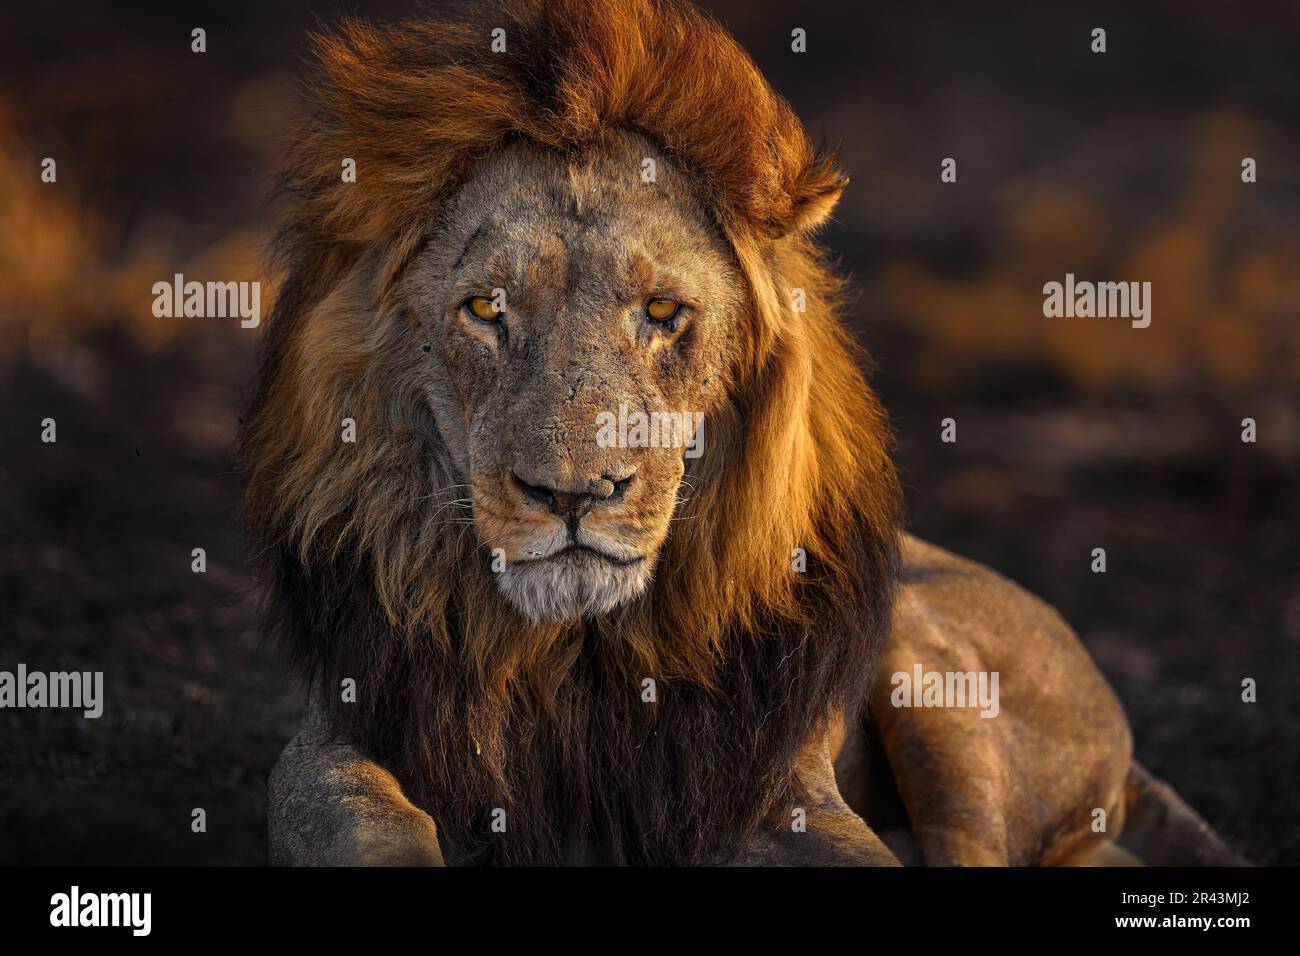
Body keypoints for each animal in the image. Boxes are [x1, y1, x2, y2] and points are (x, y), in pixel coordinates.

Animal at [241, 0, 1243, 866]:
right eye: (486, 309)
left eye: (662, 313)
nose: (572, 495)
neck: (573, 660)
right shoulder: (345, 739)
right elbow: (361, 824)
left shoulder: (765, 786)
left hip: (931, 665)